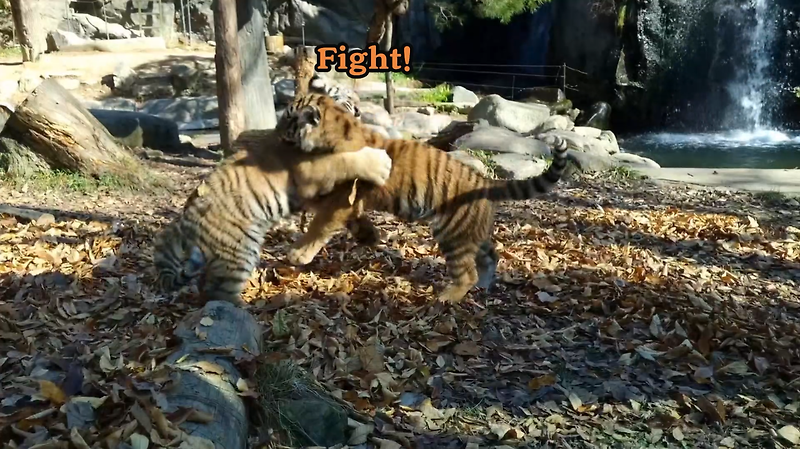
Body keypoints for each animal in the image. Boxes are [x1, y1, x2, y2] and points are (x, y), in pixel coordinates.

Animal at [151, 129, 393, 306]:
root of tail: (184, 222)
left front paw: (370, 234)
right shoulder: (311, 173)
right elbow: (343, 161)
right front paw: (381, 162)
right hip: (240, 252)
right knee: (219, 294)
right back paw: (251, 309)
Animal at [278, 92, 571, 303]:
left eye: (287, 117)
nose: (275, 129)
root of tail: (486, 181)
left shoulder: (339, 199)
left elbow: (319, 225)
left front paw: (297, 254)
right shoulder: (346, 200)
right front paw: (370, 237)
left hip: (453, 233)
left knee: (467, 272)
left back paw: (447, 297)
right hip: (473, 230)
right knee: (490, 256)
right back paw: (484, 285)